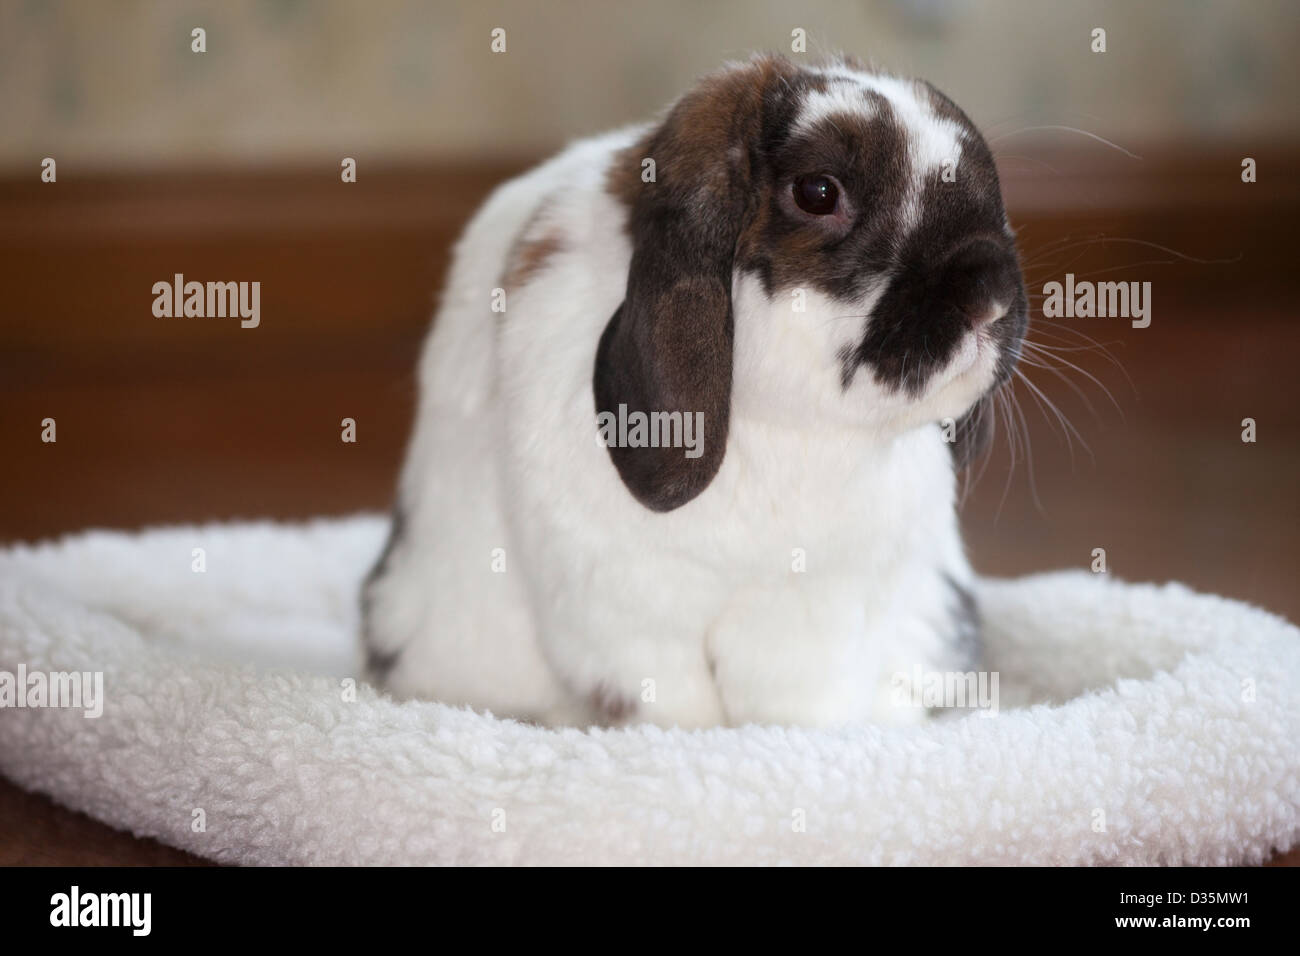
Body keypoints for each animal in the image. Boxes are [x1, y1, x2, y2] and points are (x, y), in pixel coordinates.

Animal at [361, 53, 1028, 730]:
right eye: (818, 192)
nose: (991, 294)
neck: (791, 432)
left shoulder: (818, 610)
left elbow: (797, 697)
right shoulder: (622, 614)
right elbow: (672, 702)